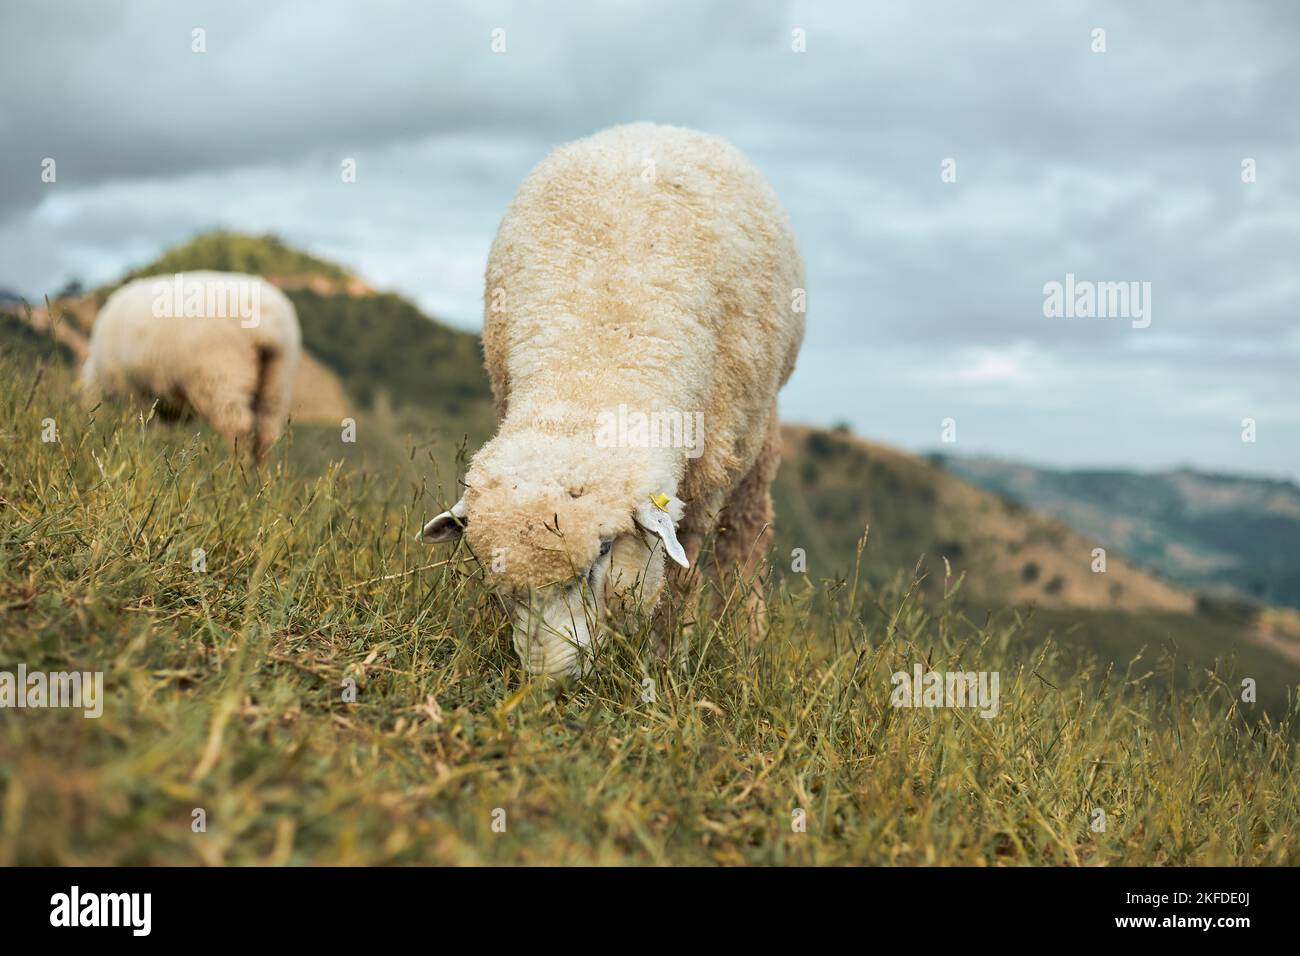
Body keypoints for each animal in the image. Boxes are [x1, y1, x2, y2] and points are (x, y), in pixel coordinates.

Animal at [81, 271, 302, 461]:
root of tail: (269, 323)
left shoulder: (134, 393)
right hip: (277, 381)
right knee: (265, 434)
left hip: (222, 376)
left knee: (238, 429)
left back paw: (235, 470)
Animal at [420, 122, 805, 678]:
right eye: (506, 590)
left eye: (603, 551)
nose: (549, 680)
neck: (591, 375)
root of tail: (659, 127)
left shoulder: (708, 470)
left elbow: (682, 572)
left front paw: (667, 656)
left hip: (758, 424)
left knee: (746, 534)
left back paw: (745, 636)